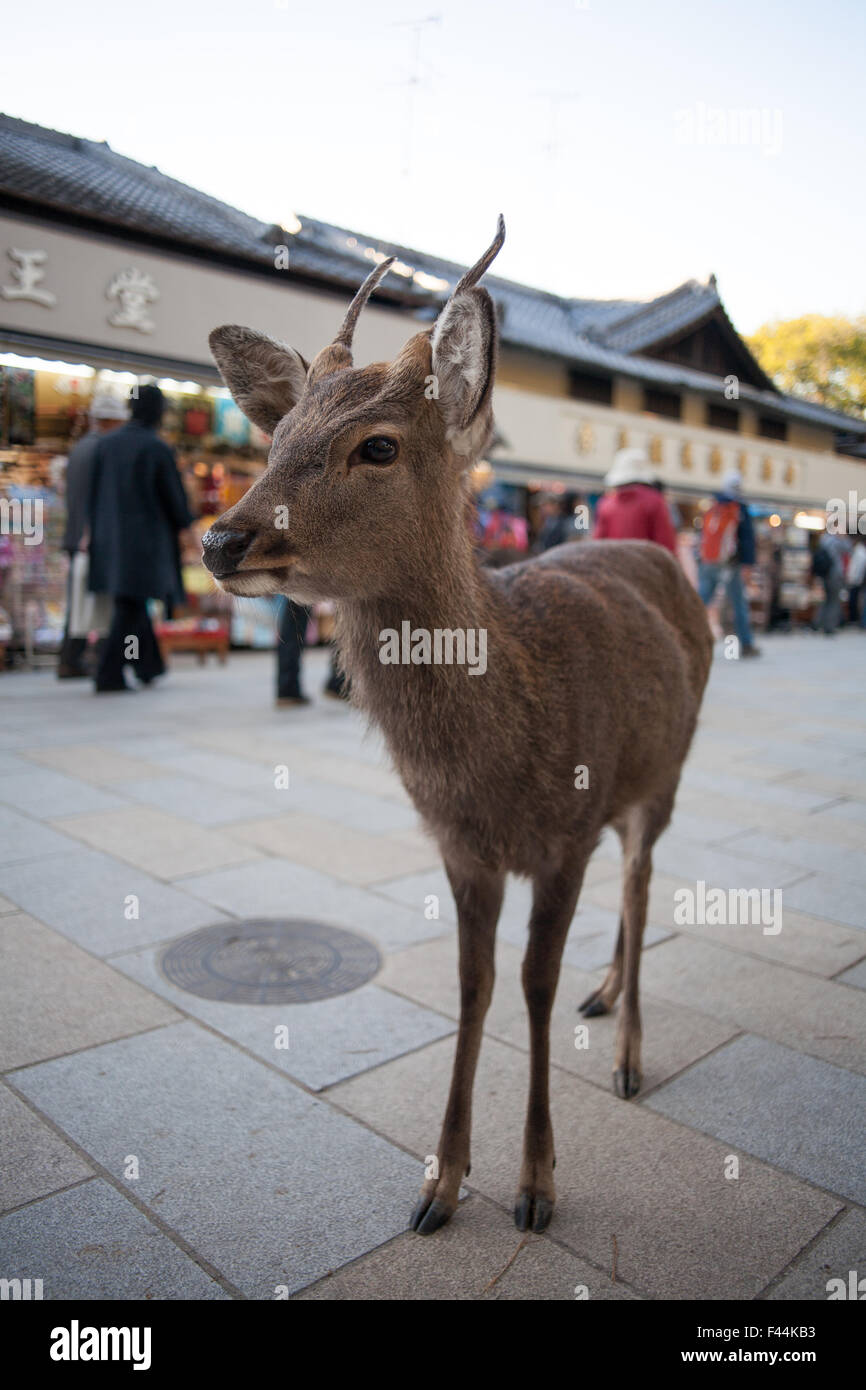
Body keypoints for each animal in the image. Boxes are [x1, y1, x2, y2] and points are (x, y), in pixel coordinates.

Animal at [202, 217, 713, 1236]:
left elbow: (532, 985)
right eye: (276, 435)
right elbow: (472, 987)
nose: (222, 538)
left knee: (643, 882)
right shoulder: (459, 846)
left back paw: (630, 1054)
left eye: (378, 446)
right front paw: (439, 1183)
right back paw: (607, 999)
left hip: (666, 772)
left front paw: (536, 1184)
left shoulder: (565, 836)